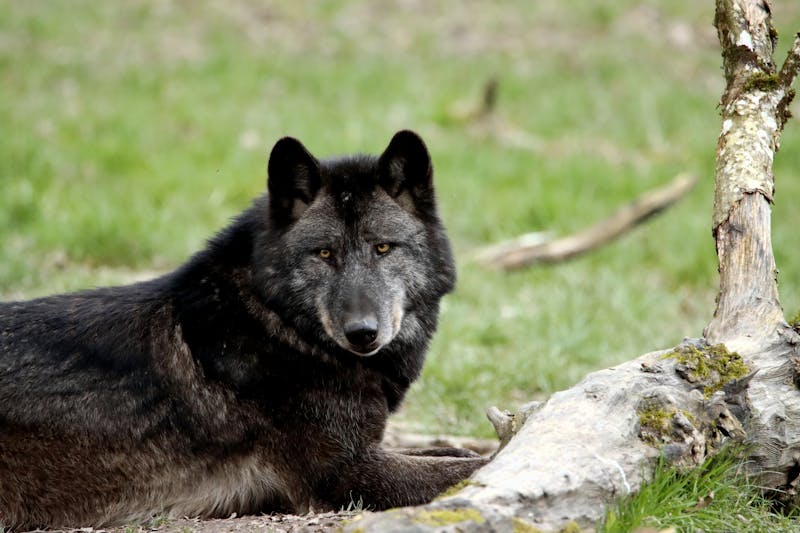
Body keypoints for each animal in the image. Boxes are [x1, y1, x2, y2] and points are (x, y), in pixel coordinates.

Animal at [0, 130, 488, 530]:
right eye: (324, 253)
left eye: (383, 248)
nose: (361, 332)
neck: (276, 326)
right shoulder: (346, 474)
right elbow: (470, 468)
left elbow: (456, 455)